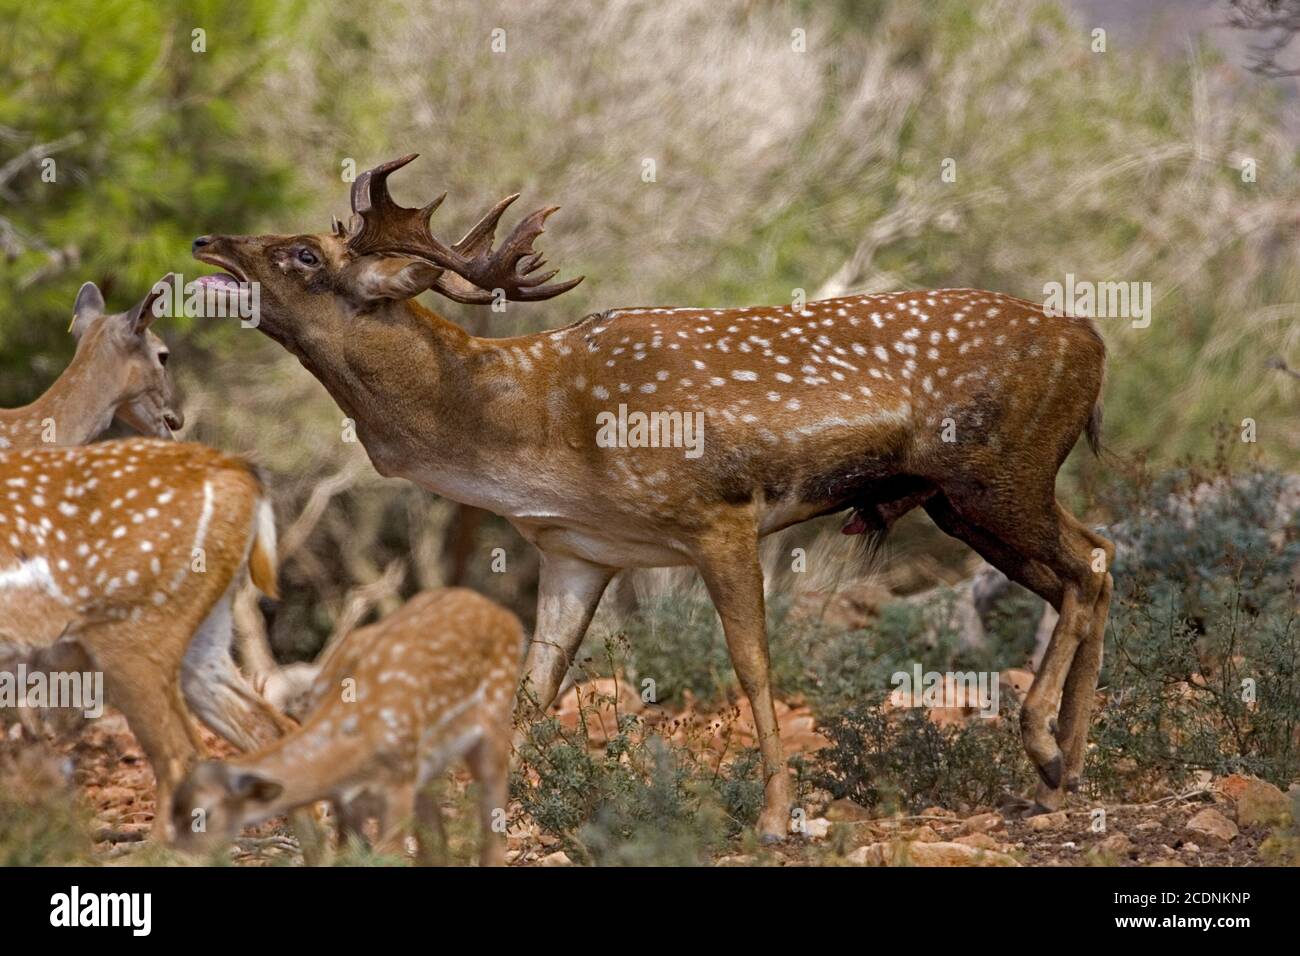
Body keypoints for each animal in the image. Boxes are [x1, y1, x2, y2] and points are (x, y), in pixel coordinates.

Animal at [171, 588, 521, 866]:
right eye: (174, 808)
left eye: (204, 814)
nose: (175, 855)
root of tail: (505, 615)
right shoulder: (348, 804)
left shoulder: (396, 786)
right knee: (437, 844)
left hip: (493, 719)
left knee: (492, 823)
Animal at [191, 154, 1114, 841]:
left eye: (305, 255)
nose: (207, 242)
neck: (536, 428)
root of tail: (1092, 338)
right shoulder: (577, 551)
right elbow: (534, 687)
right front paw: (478, 816)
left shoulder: (720, 514)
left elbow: (752, 665)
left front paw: (775, 817)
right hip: (966, 497)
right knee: (1097, 558)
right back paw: (1065, 769)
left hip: (996, 478)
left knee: (1089, 565)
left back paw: (1045, 750)